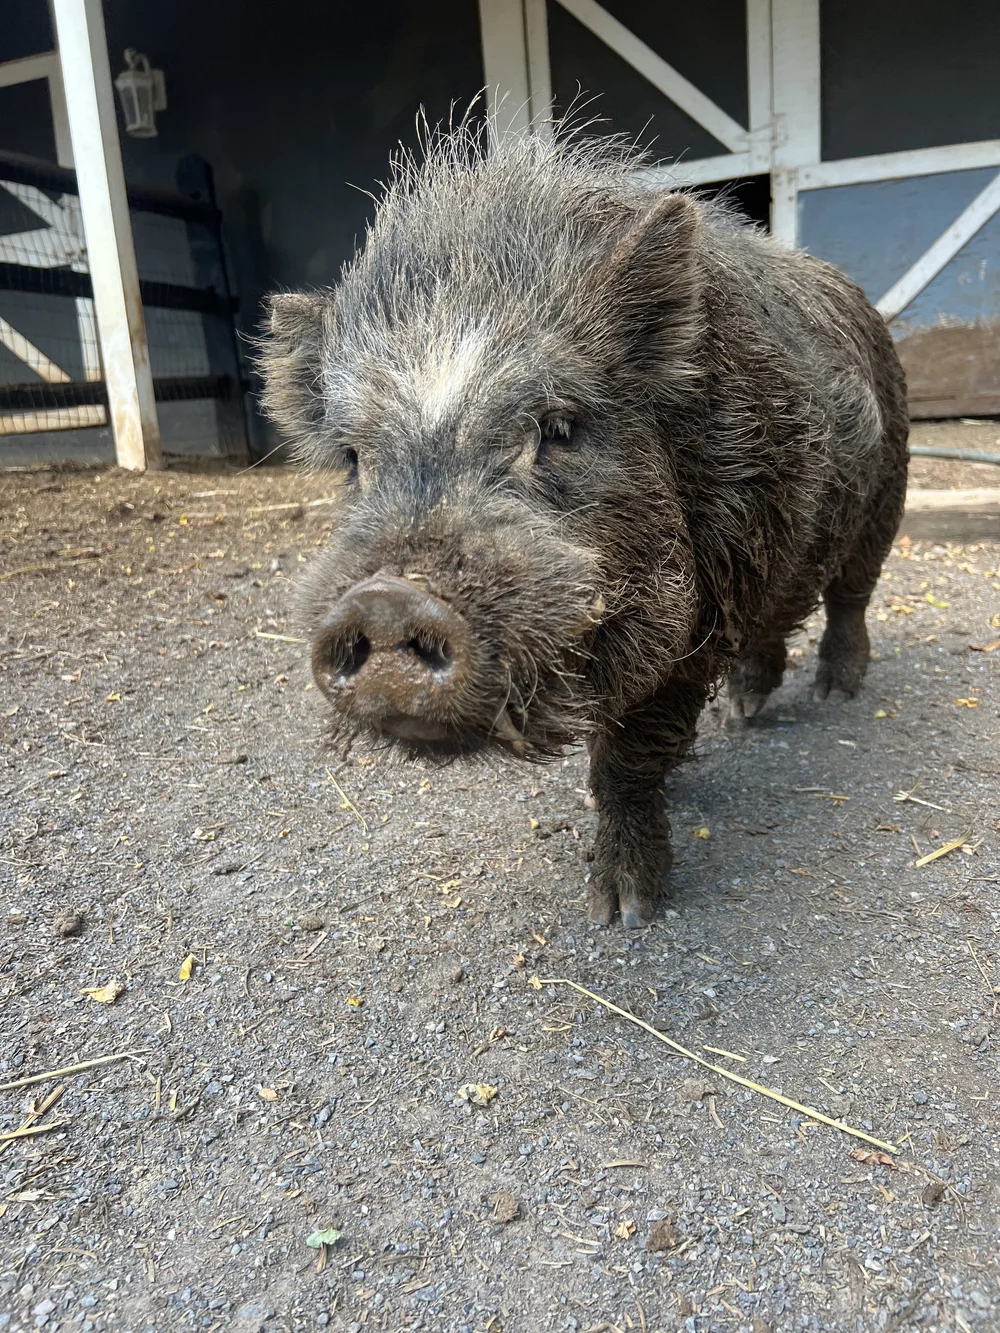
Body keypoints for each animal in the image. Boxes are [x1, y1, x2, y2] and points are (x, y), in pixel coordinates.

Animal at [258, 130, 908, 928]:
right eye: (353, 458)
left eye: (559, 427)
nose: (384, 600)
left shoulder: (692, 622)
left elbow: (628, 756)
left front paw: (622, 910)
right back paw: (738, 718)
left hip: (890, 488)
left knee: (850, 597)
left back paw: (834, 697)